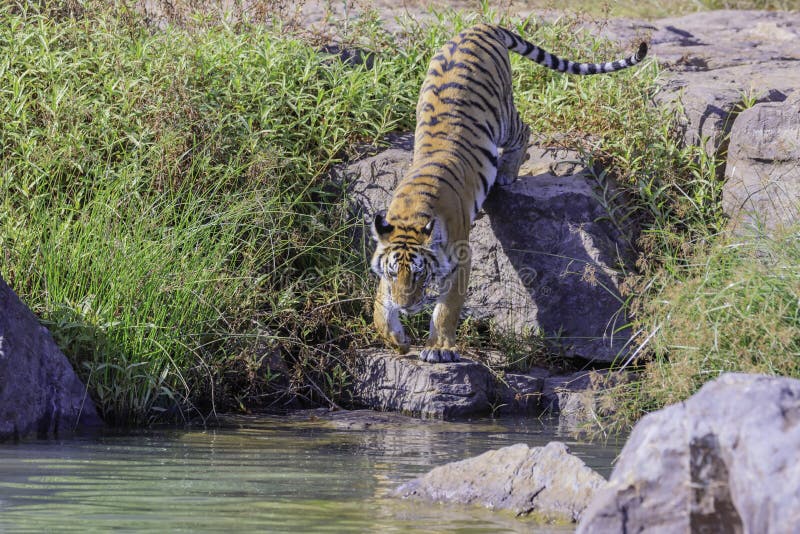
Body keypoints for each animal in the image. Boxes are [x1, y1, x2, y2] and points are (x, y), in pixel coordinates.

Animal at [370, 23, 647, 363]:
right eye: (394, 273)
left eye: (420, 275)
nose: (407, 307)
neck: (412, 213)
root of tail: (477, 26)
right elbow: (380, 306)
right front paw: (395, 338)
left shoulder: (461, 259)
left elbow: (446, 309)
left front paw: (439, 348)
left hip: (502, 117)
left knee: (524, 129)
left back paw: (506, 172)